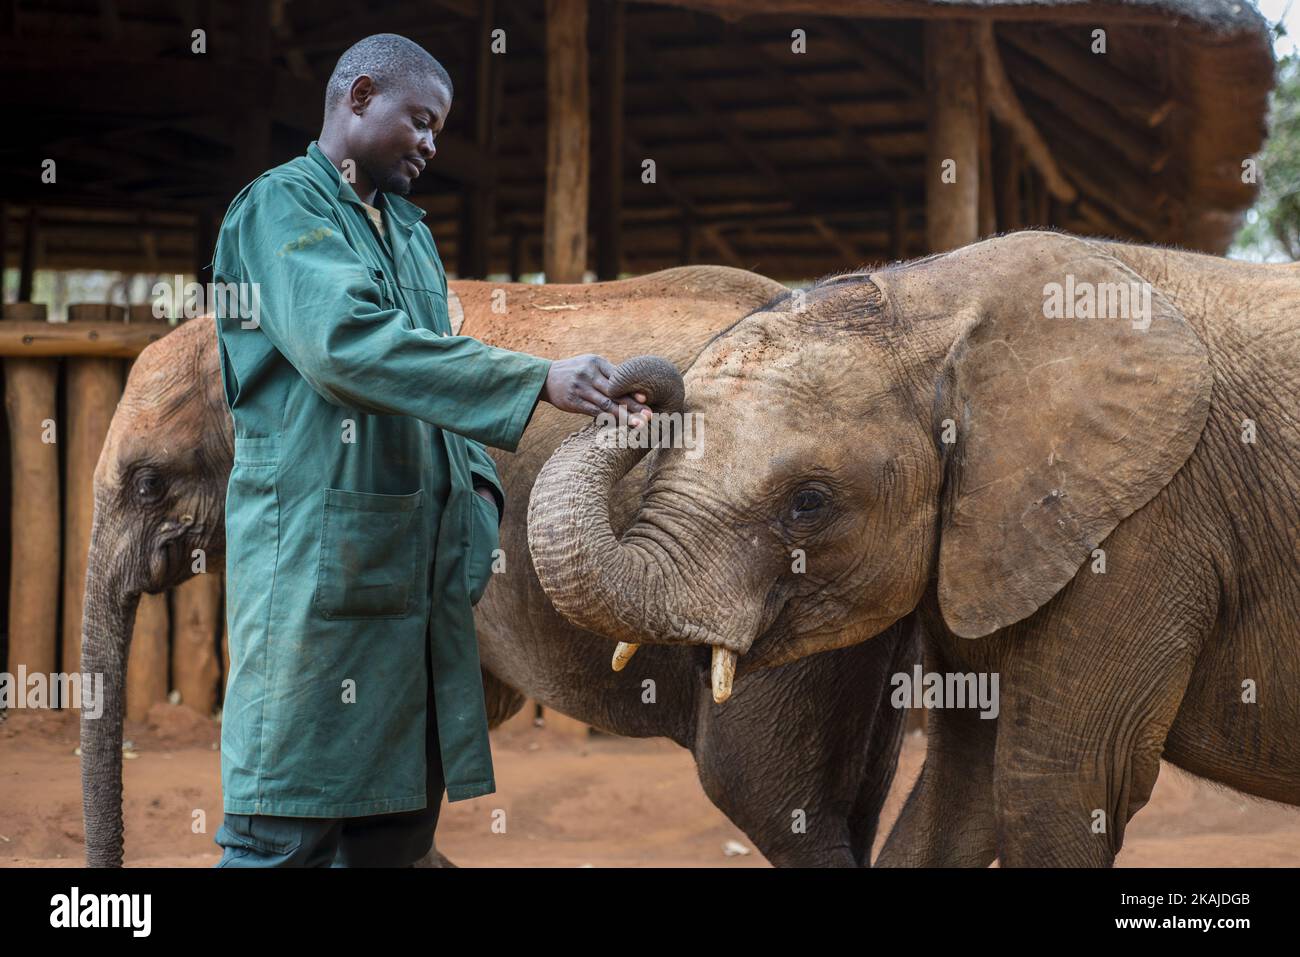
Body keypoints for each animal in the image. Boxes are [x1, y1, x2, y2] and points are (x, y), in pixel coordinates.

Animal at [528, 230, 1300, 866]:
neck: (937, 295)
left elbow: (1057, 786)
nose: (631, 389)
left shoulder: (1147, 525)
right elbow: (961, 791)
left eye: (809, 503)